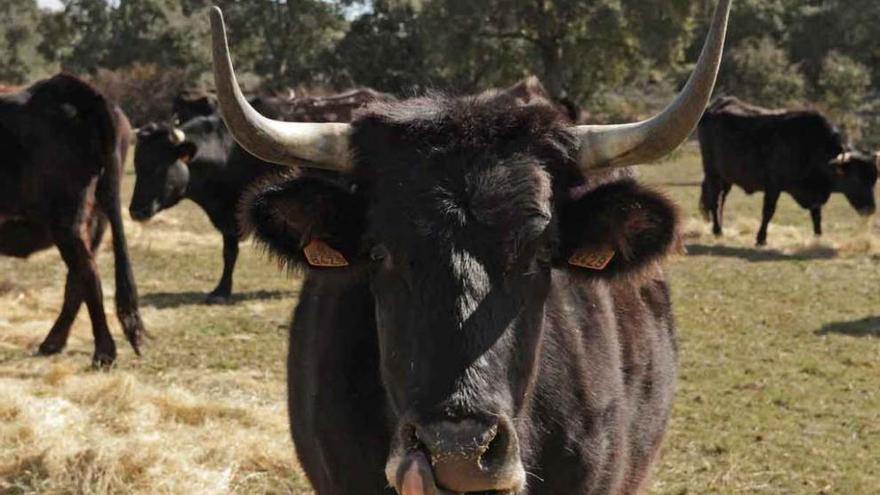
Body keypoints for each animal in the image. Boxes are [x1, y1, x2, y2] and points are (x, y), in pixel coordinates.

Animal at [0, 74, 144, 368]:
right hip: (95, 219)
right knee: (79, 276)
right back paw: (54, 342)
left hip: (67, 221)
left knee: (87, 274)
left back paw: (103, 352)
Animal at [696, 96, 876, 246]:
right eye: (856, 179)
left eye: (874, 180)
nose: (871, 209)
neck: (812, 148)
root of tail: (714, 106)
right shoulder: (773, 186)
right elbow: (768, 212)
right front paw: (761, 238)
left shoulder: (814, 195)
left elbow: (816, 215)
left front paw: (818, 237)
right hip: (712, 172)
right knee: (715, 200)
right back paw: (718, 230)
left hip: (726, 177)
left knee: (721, 199)